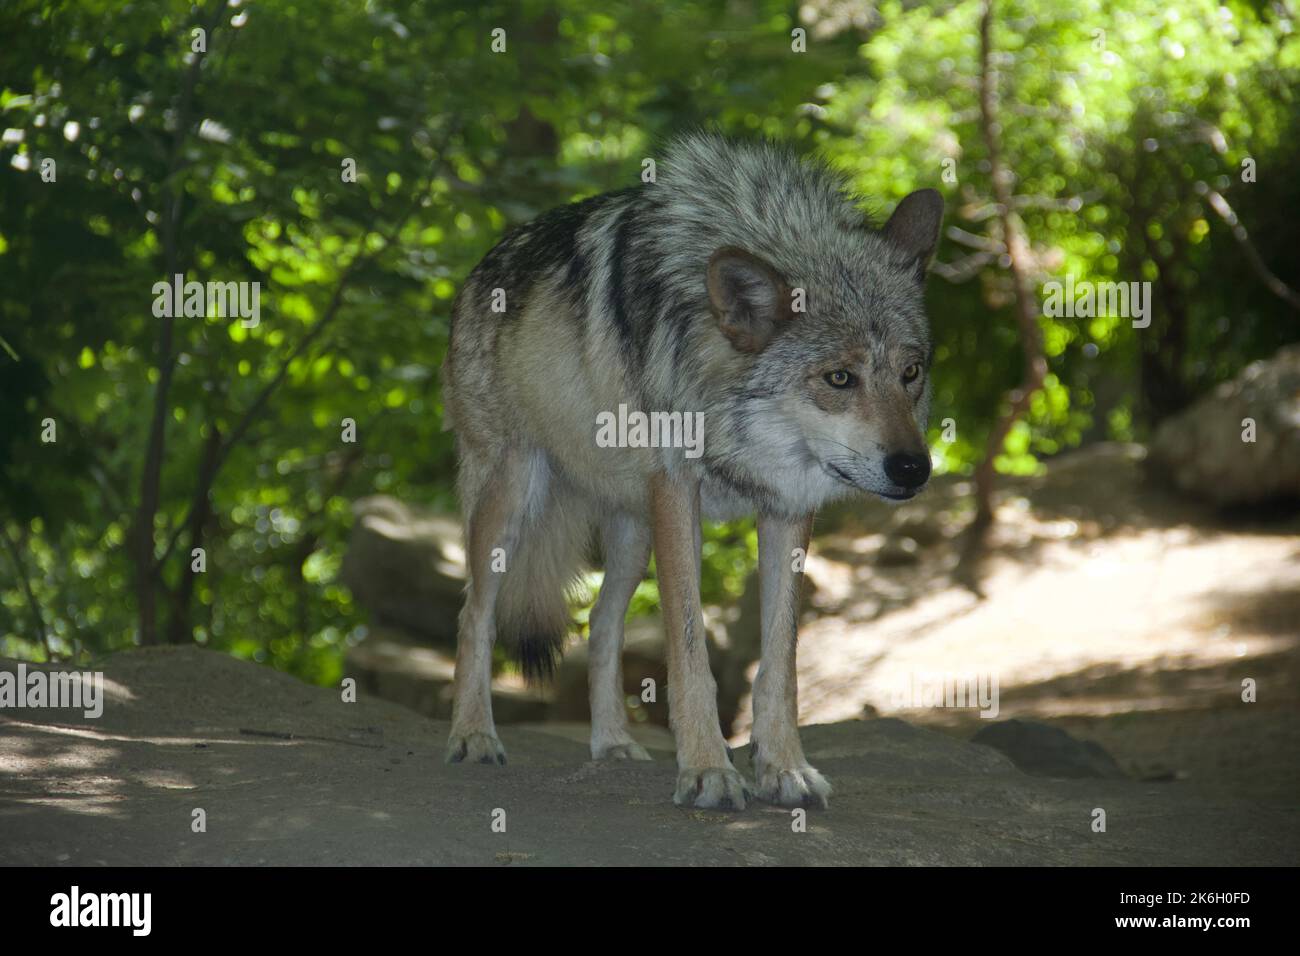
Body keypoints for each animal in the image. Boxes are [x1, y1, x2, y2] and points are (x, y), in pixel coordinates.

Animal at [441, 133, 942, 810]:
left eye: (910, 373)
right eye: (840, 378)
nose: (914, 468)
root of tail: (481, 268)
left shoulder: (786, 509)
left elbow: (780, 663)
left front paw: (783, 769)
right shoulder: (679, 495)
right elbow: (689, 650)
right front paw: (707, 770)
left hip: (632, 532)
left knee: (600, 624)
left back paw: (613, 745)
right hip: (516, 498)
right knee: (475, 615)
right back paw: (473, 735)